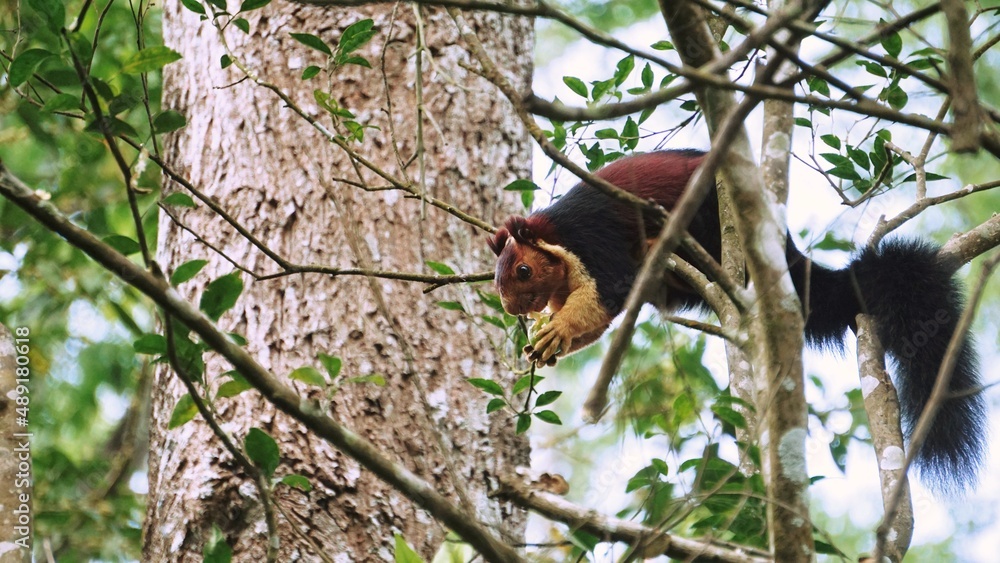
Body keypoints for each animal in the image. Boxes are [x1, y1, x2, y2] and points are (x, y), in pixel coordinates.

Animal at [487, 149, 986, 491]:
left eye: (523, 270)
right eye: (496, 278)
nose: (513, 309)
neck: (558, 238)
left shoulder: (595, 238)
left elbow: (605, 292)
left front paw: (556, 330)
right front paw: (546, 342)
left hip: (711, 212)